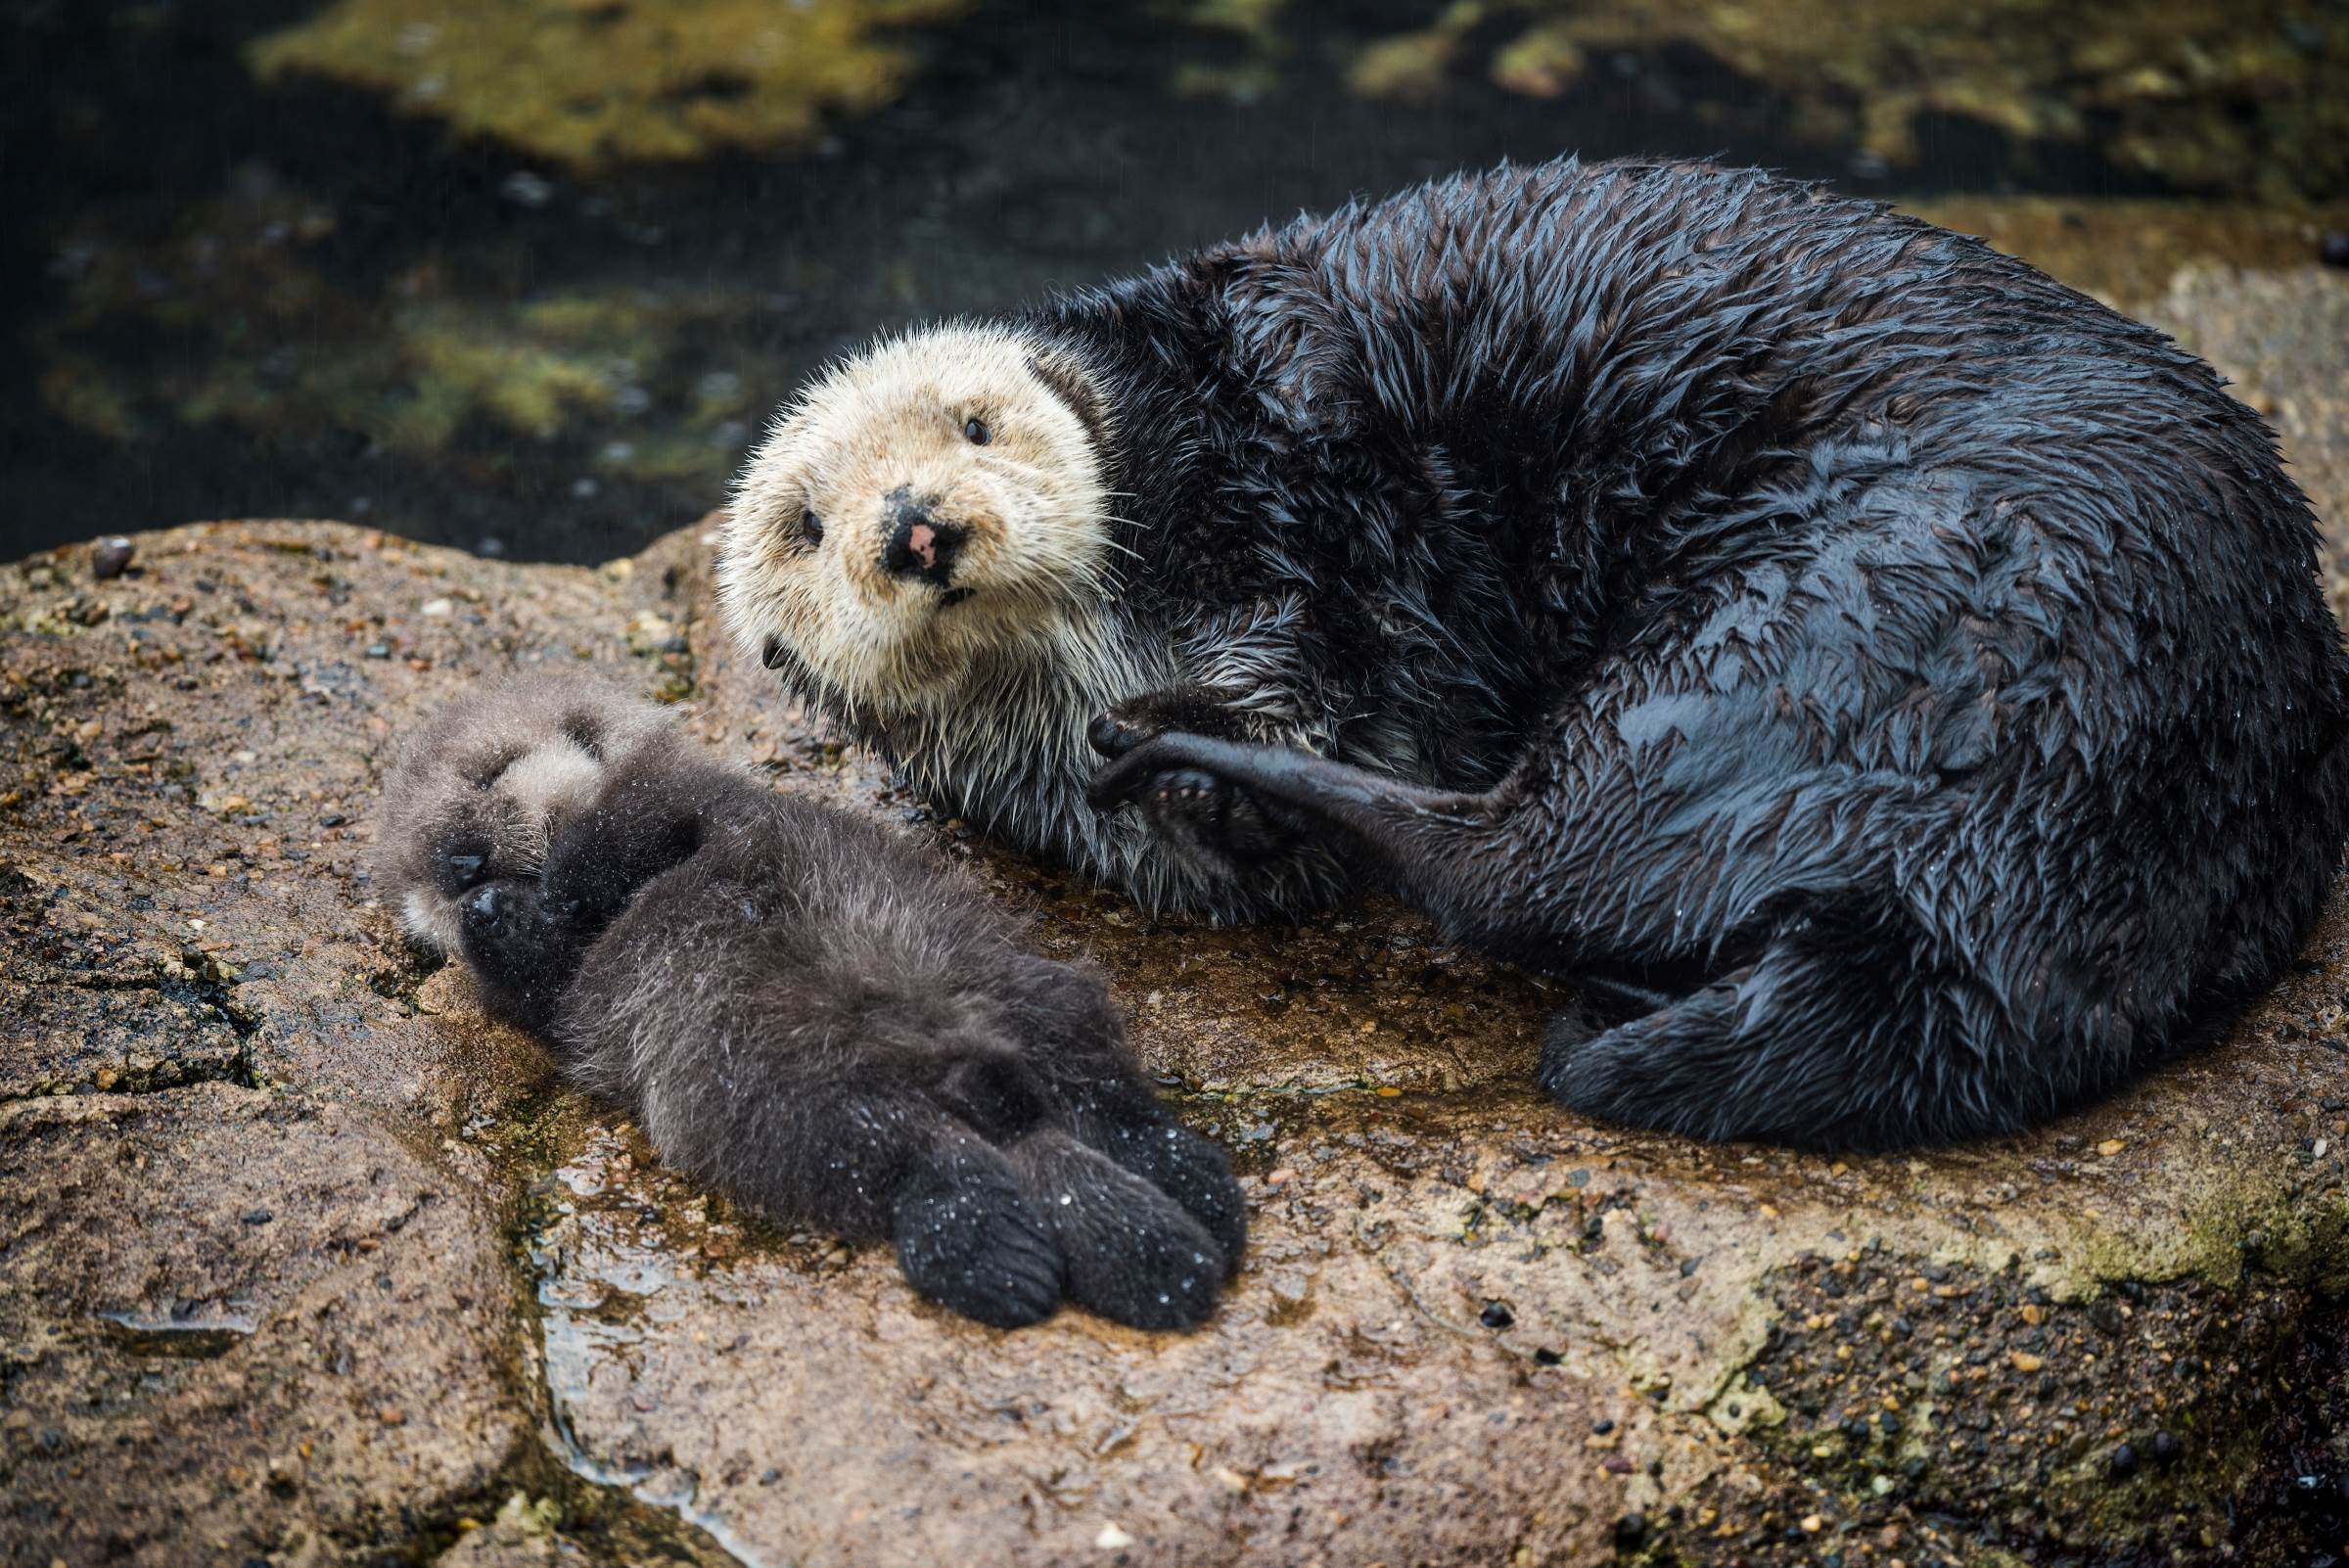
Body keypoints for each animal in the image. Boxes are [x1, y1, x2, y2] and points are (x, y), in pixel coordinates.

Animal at [376, 674, 1244, 1328]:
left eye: (492, 770)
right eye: (423, 872)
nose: (463, 867)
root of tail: (975, 1077)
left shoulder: (680, 795)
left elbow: (631, 822)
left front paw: (543, 886)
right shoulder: (550, 982)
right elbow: (537, 969)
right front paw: (496, 919)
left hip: (1009, 999)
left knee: (1081, 1102)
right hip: (783, 1094)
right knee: (935, 1154)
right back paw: (1037, 1247)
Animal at [720, 156, 2349, 1152]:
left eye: (977, 423)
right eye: (806, 521)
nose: (916, 524)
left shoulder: (1264, 447)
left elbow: (1322, 587)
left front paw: (1242, 722)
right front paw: (1214, 781)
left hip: (1817, 627)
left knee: (1517, 869)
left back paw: (1194, 737)